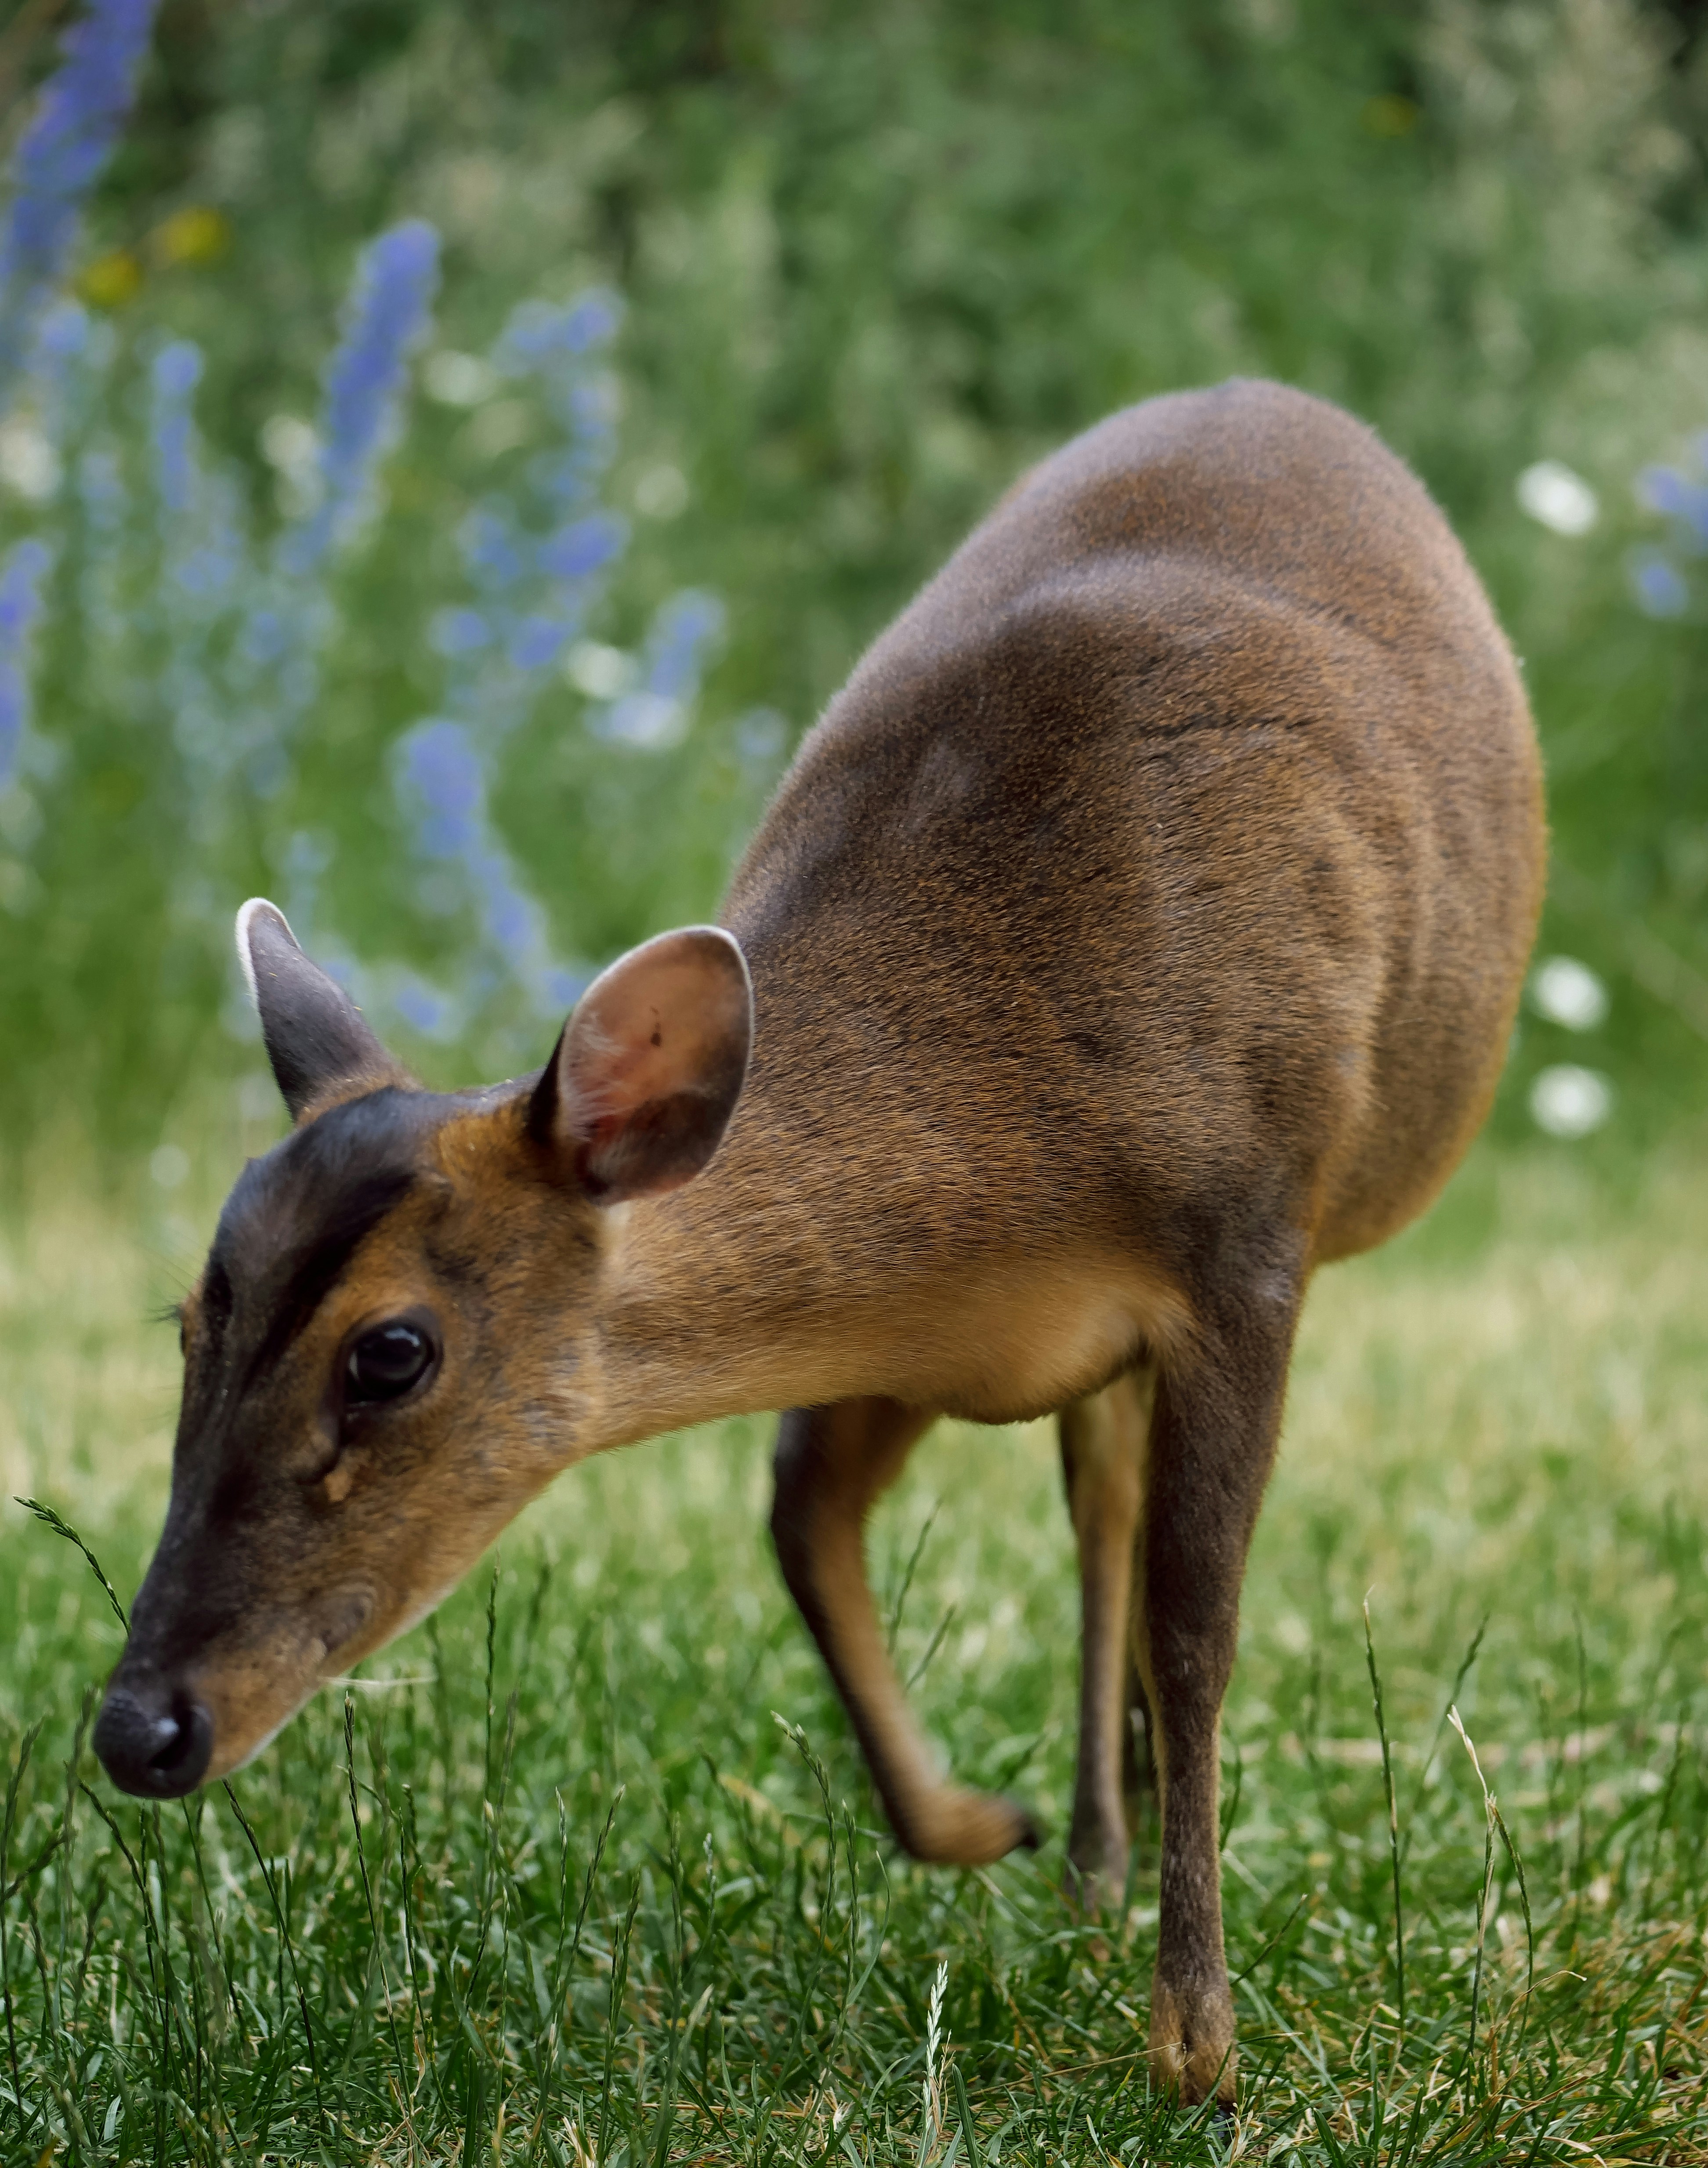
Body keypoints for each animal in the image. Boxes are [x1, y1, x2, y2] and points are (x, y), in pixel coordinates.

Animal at [93, 379, 1544, 2104]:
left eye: (390, 1351)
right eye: (194, 1317)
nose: (139, 1728)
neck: (1032, 1125)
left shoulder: (1248, 1235)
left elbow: (1200, 1621)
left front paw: (1195, 2045)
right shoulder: (925, 1328)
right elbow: (802, 1512)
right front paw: (983, 1824)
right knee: (1094, 1501)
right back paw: (1092, 1844)